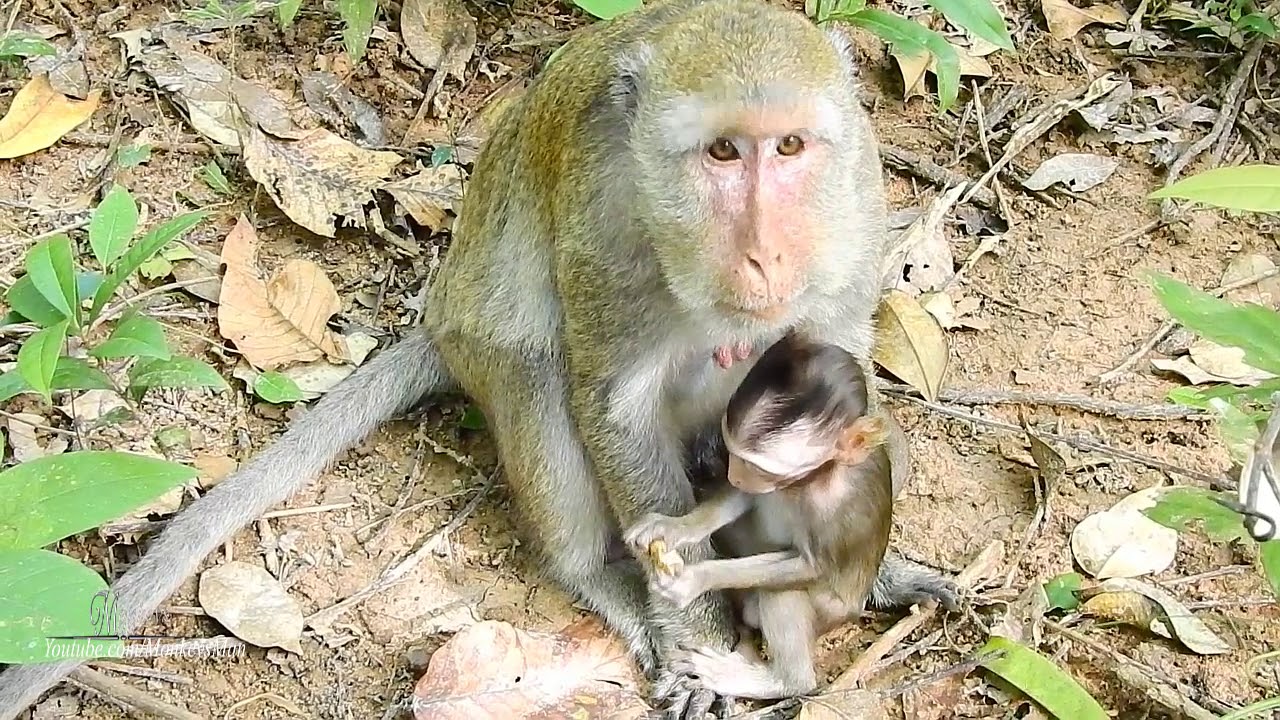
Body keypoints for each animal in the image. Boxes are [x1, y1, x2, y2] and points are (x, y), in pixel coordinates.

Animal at [626, 333, 955, 700]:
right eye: (736, 456)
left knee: (781, 591)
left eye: (757, 466)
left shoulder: (834, 509)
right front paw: (675, 527)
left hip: (830, 612)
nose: (733, 474)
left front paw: (695, 579)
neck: (814, 479)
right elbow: (745, 498)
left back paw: (781, 680)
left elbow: (810, 567)